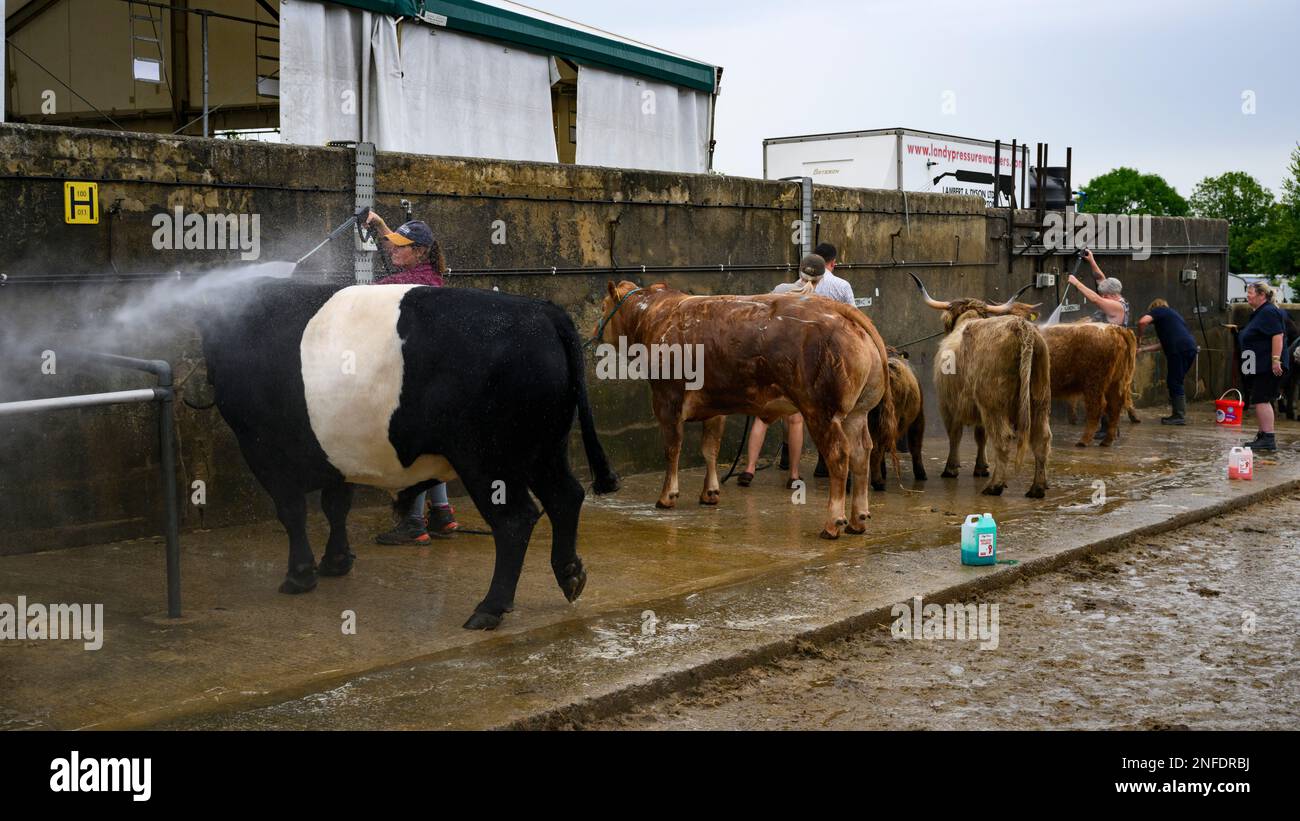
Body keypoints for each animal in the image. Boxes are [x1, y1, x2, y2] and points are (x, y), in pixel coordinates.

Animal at [196, 280, 618, 628]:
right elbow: (336, 506)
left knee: (516, 520)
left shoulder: (262, 447)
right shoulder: (339, 451)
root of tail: (541, 311)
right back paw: (570, 574)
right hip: (544, 448)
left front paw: (300, 575)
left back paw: (489, 608)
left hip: (485, 459)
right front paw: (336, 562)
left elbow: (292, 511)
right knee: (566, 497)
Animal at [595, 279, 894, 543]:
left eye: (602, 306)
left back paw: (833, 524)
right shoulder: (715, 404)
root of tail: (841, 310)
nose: (595, 332)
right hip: (857, 413)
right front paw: (710, 493)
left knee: (839, 455)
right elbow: (710, 448)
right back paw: (858, 520)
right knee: (861, 453)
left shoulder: (666, 398)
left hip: (821, 412)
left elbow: (672, 449)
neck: (656, 314)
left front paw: (667, 496)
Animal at [909, 272, 1050, 496]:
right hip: (1039, 400)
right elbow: (980, 435)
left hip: (993, 404)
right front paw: (981, 467)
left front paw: (951, 468)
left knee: (1002, 439)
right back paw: (1037, 488)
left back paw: (995, 486)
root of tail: (1022, 329)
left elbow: (955, 434)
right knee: (1042, 439)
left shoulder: (948, 405)